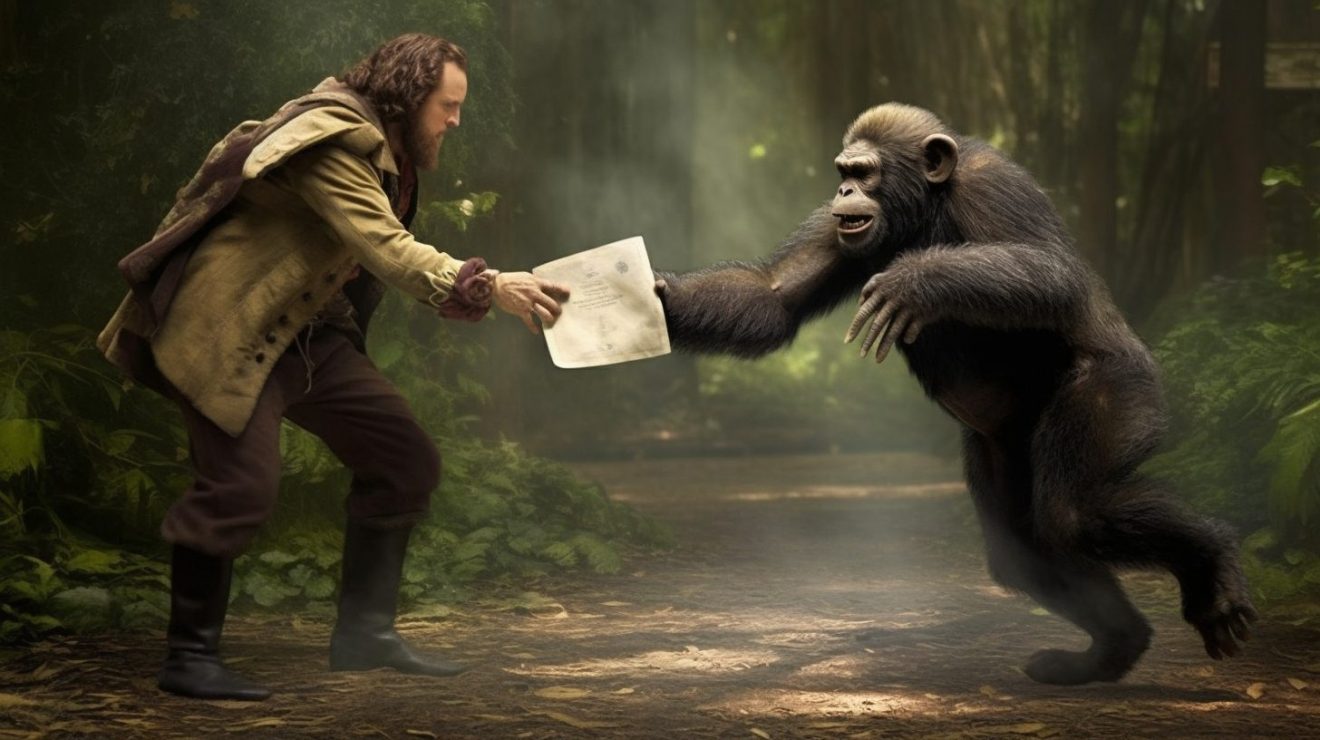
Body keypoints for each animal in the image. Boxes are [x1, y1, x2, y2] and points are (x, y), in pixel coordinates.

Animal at [654, 103, 1256, 685]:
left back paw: (1213, 564)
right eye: (843, 174)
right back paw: (1109, 651)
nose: (844, 192)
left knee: (1074, 514)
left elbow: (1052, 271)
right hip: (1006, 448)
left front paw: (915, 281)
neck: (927, 206)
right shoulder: (835, 228)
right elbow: (775, 294)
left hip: (1118, 394)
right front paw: (651, 296)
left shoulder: (996, 187)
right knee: (1022, 552)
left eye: (864, 172)